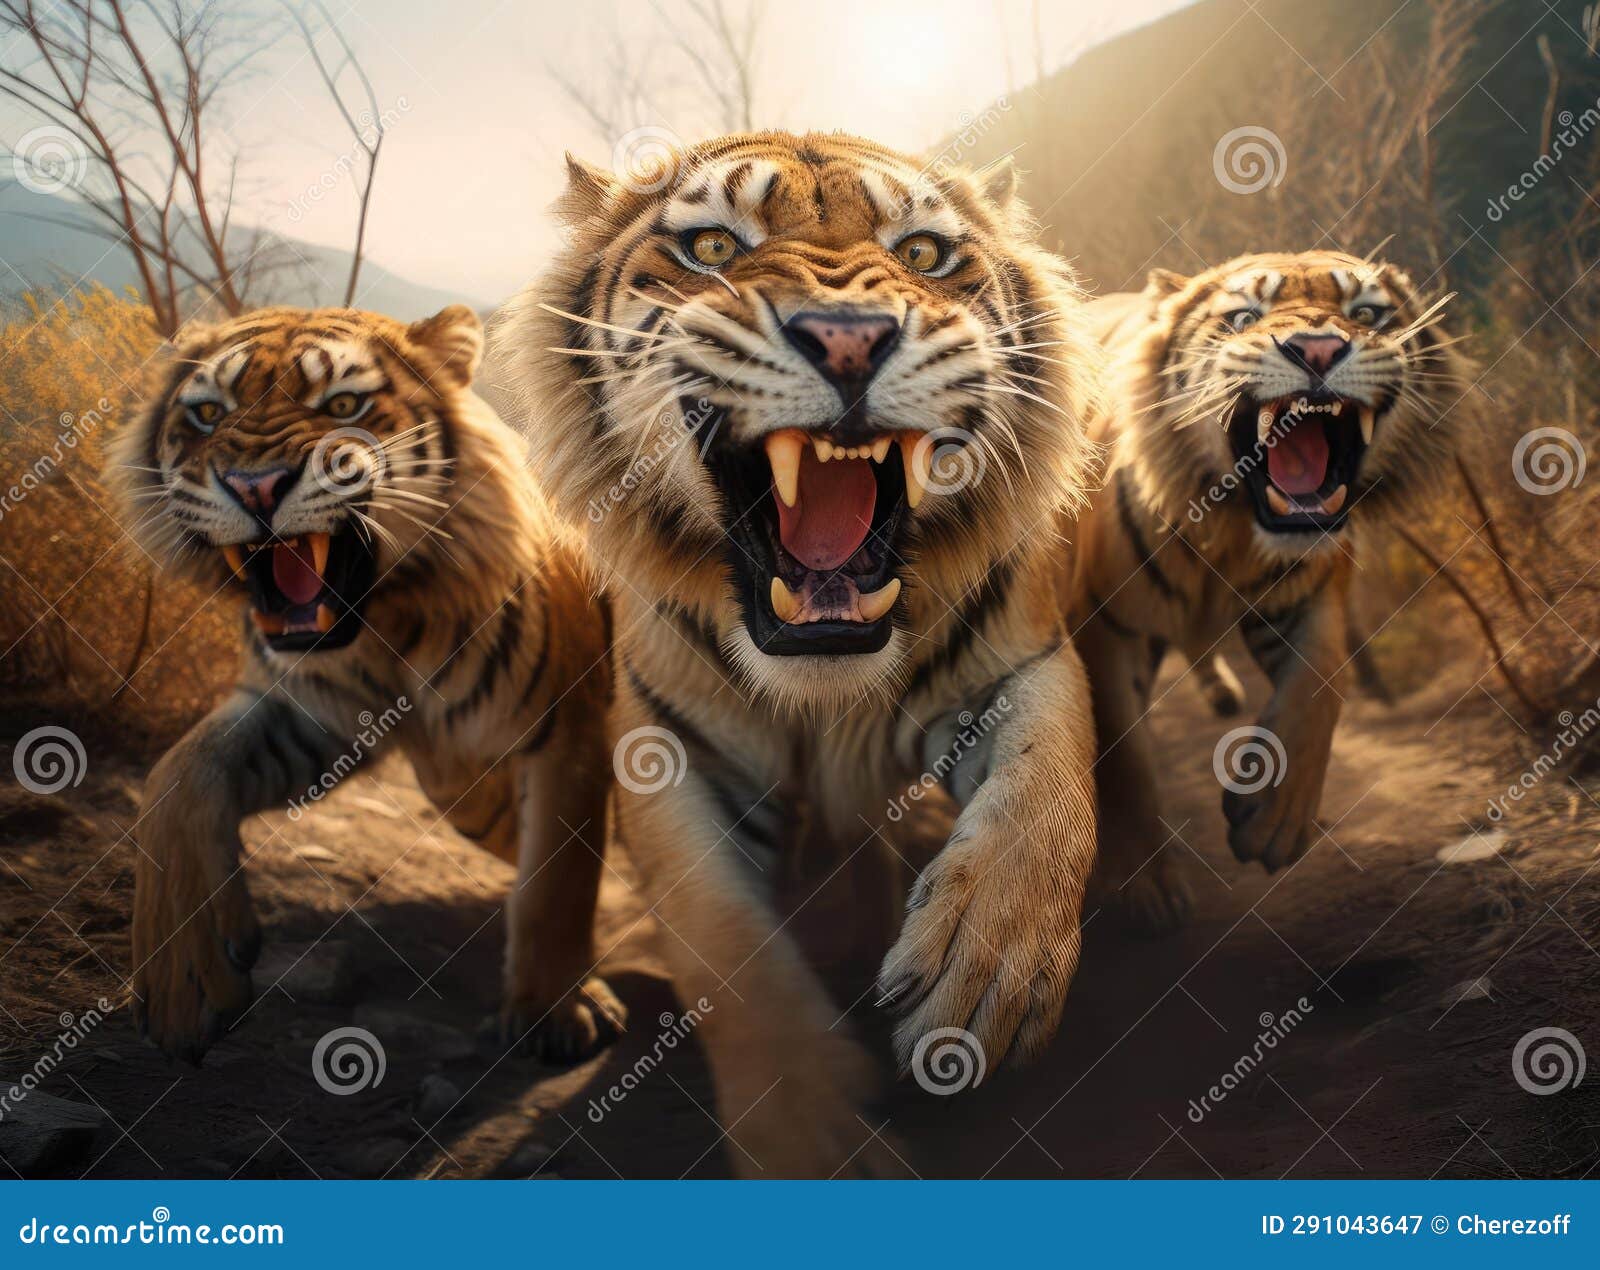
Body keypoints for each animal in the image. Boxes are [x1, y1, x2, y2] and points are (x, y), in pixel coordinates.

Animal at [110, 303, 626, 1065]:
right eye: (207, 414)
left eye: (343, 406)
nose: (255, 486)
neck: (388, 625)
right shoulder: (304, 710)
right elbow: (175, 777)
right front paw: (182, 984)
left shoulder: (568, 734)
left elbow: (556, 886)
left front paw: (554, 1015)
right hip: (470, 798)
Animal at [492, 131, 1101, 1177]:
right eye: (710, 246)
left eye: (925, 254)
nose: (850, 338)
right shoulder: (668, 747)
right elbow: (724, 940)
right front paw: (815, 1136)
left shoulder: (1020, 661)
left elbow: (1046, 790)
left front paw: (986, 970)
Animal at [1063, 250, 1471, 934]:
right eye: (1242, 318)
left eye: (1367, 313)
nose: (1319, 350)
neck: (1232, 529)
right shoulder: (1105, 622)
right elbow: (1124, 760)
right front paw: (1147, 890)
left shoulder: (1310, 594)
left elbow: (1320, 684)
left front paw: (1276, 821)